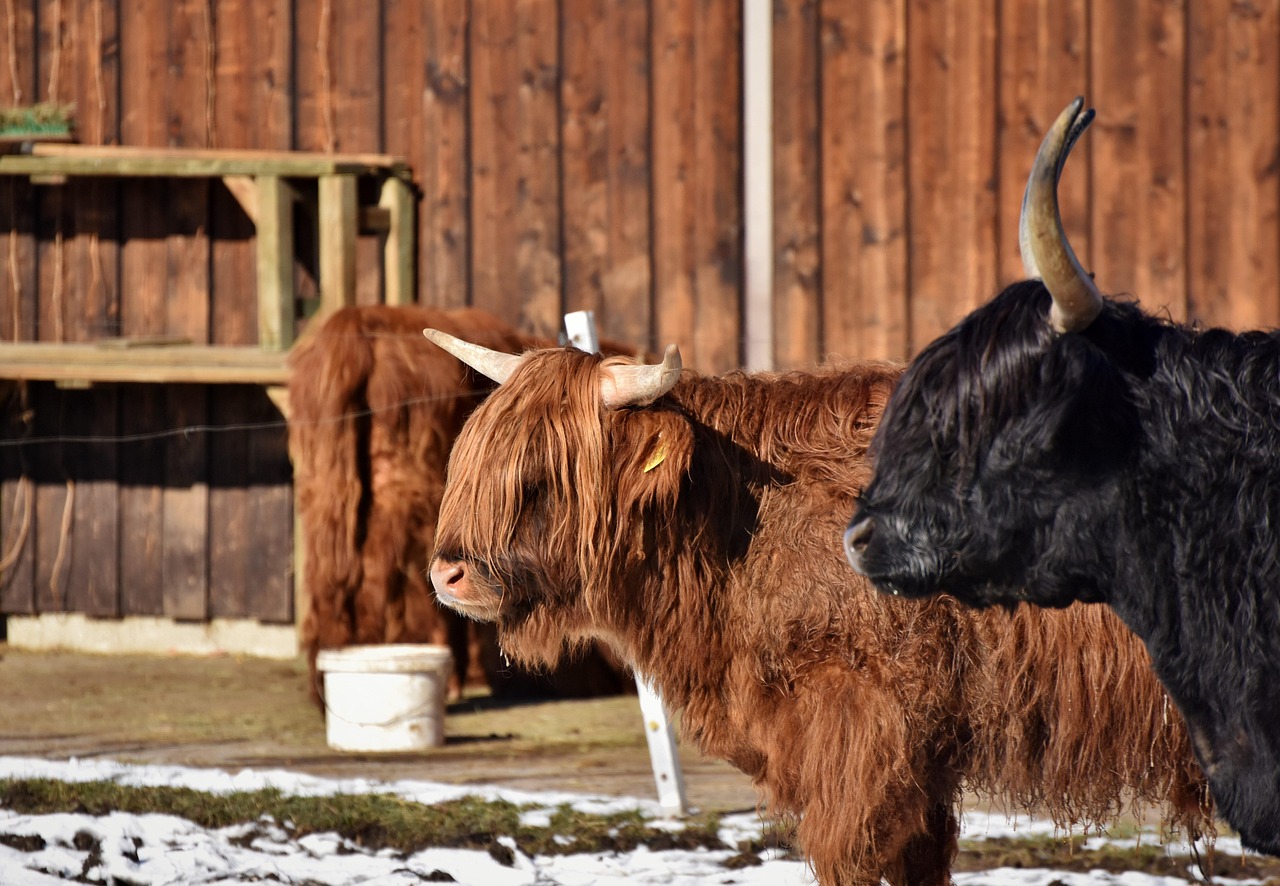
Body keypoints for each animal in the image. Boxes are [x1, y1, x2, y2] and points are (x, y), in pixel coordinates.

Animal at [423, 328, 1211, 886]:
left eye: (539, 476)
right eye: (473, 461)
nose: (448, 573)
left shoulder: (862, 722)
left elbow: (849, 858)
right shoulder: (920, 750)